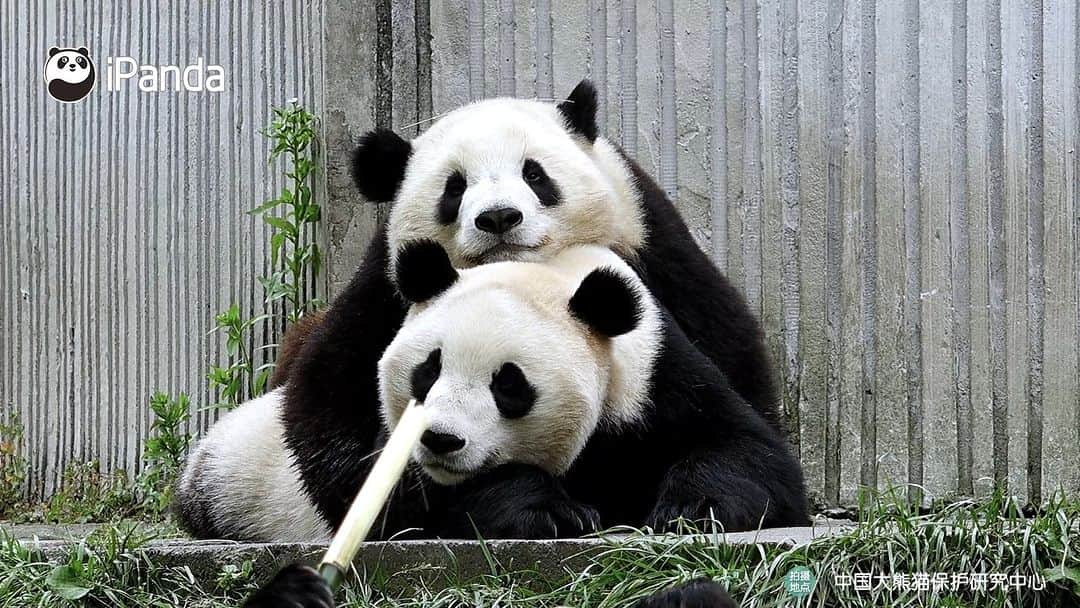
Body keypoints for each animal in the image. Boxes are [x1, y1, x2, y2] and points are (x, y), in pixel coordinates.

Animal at [282, 80, 784, 532]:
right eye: (454, 188)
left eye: (535, 174)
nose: (499, 217)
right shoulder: (382, 291)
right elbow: (329, 405)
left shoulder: (658, 256)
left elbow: (729, 380)